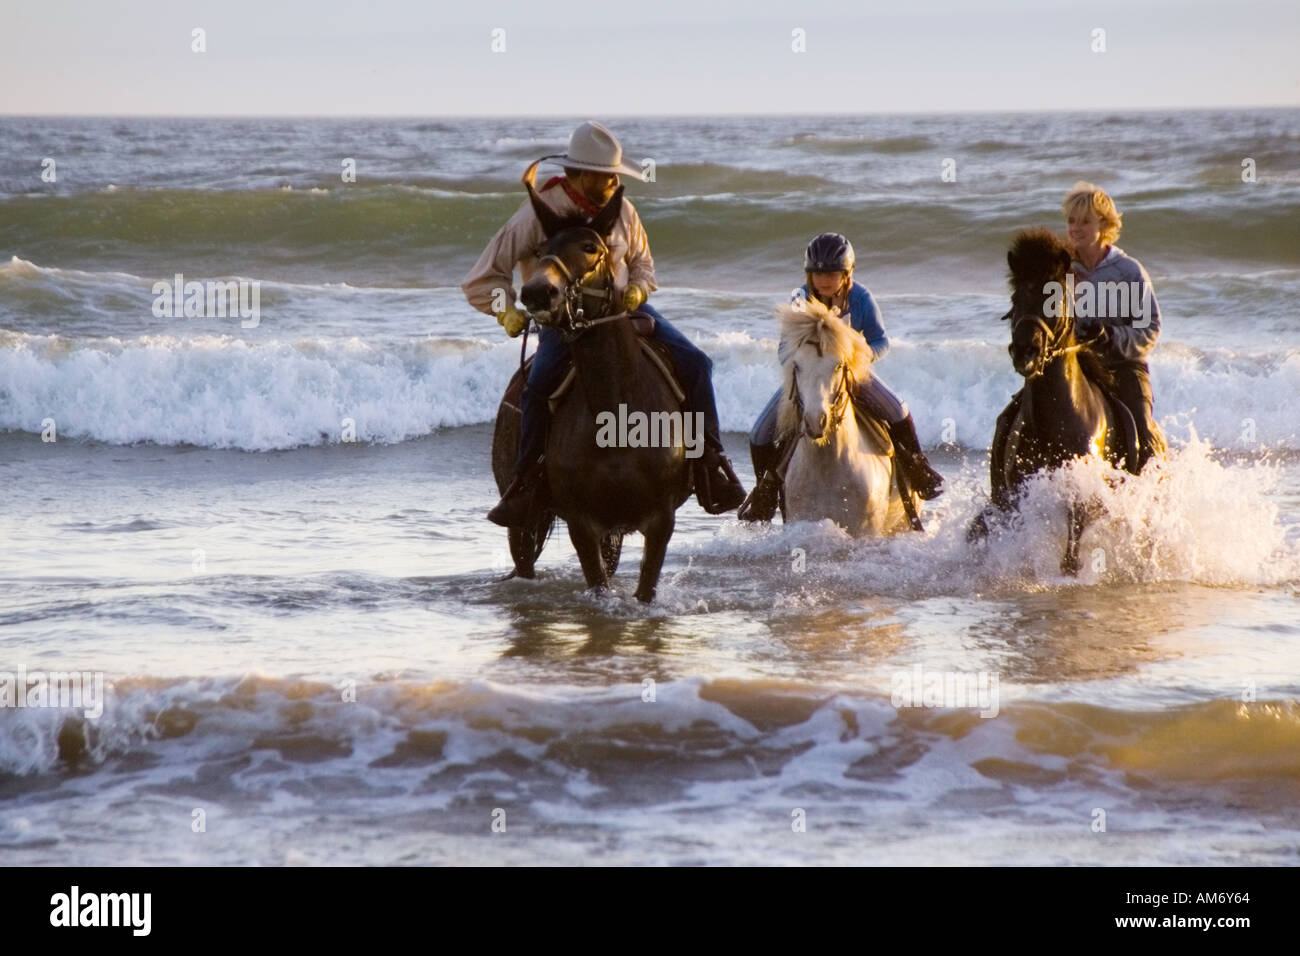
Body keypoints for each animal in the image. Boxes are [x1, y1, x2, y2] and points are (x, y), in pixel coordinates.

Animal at [968, 228, 1137, 574]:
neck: (1055, 420)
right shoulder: (1019, 492)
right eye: (1015, 299)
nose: (1025, 352)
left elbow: (1071, 551)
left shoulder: (1082, 495)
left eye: (1053, 298)